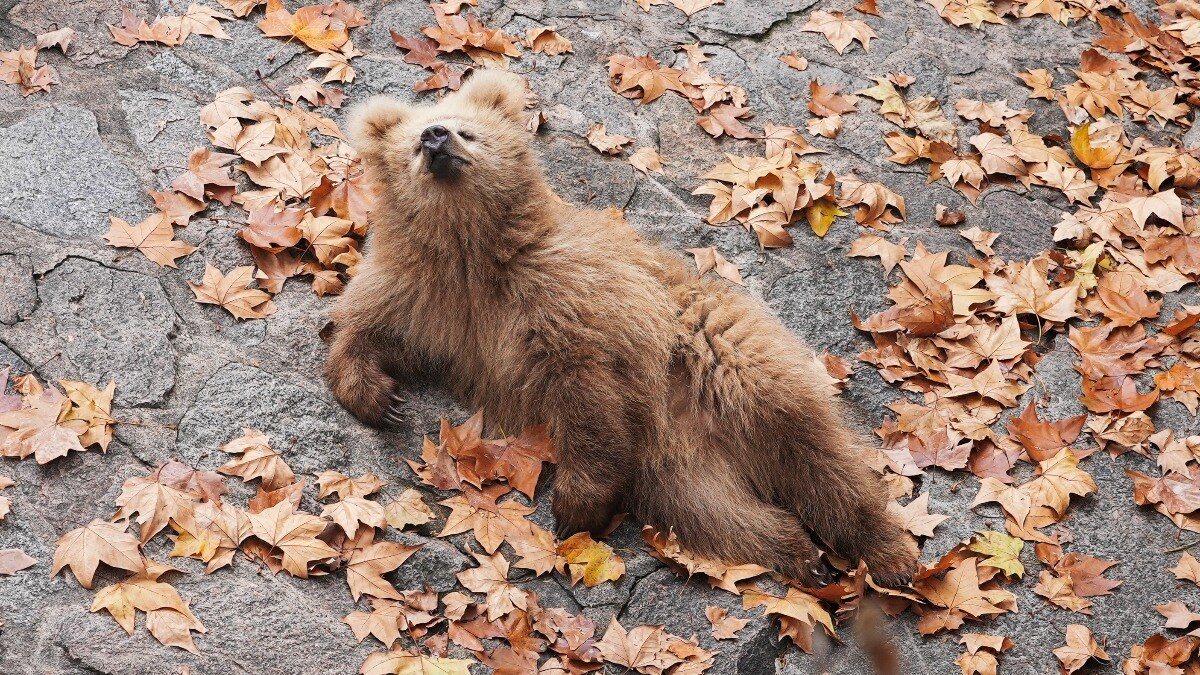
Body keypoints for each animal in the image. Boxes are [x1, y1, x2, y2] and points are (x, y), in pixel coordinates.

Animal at [324, 69, 919, 587]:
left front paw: (572, 505)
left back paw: (889, 554)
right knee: (716, 514)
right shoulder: (427, 299)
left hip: (732, 361)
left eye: (466, 128)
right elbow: (364, 329)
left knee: (817, 454)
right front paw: (379, 397)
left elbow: (589, 389)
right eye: (411, 143)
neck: (471, 252)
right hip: (677, 469)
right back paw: (799, 553)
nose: (435, 136)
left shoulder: (566, 297)